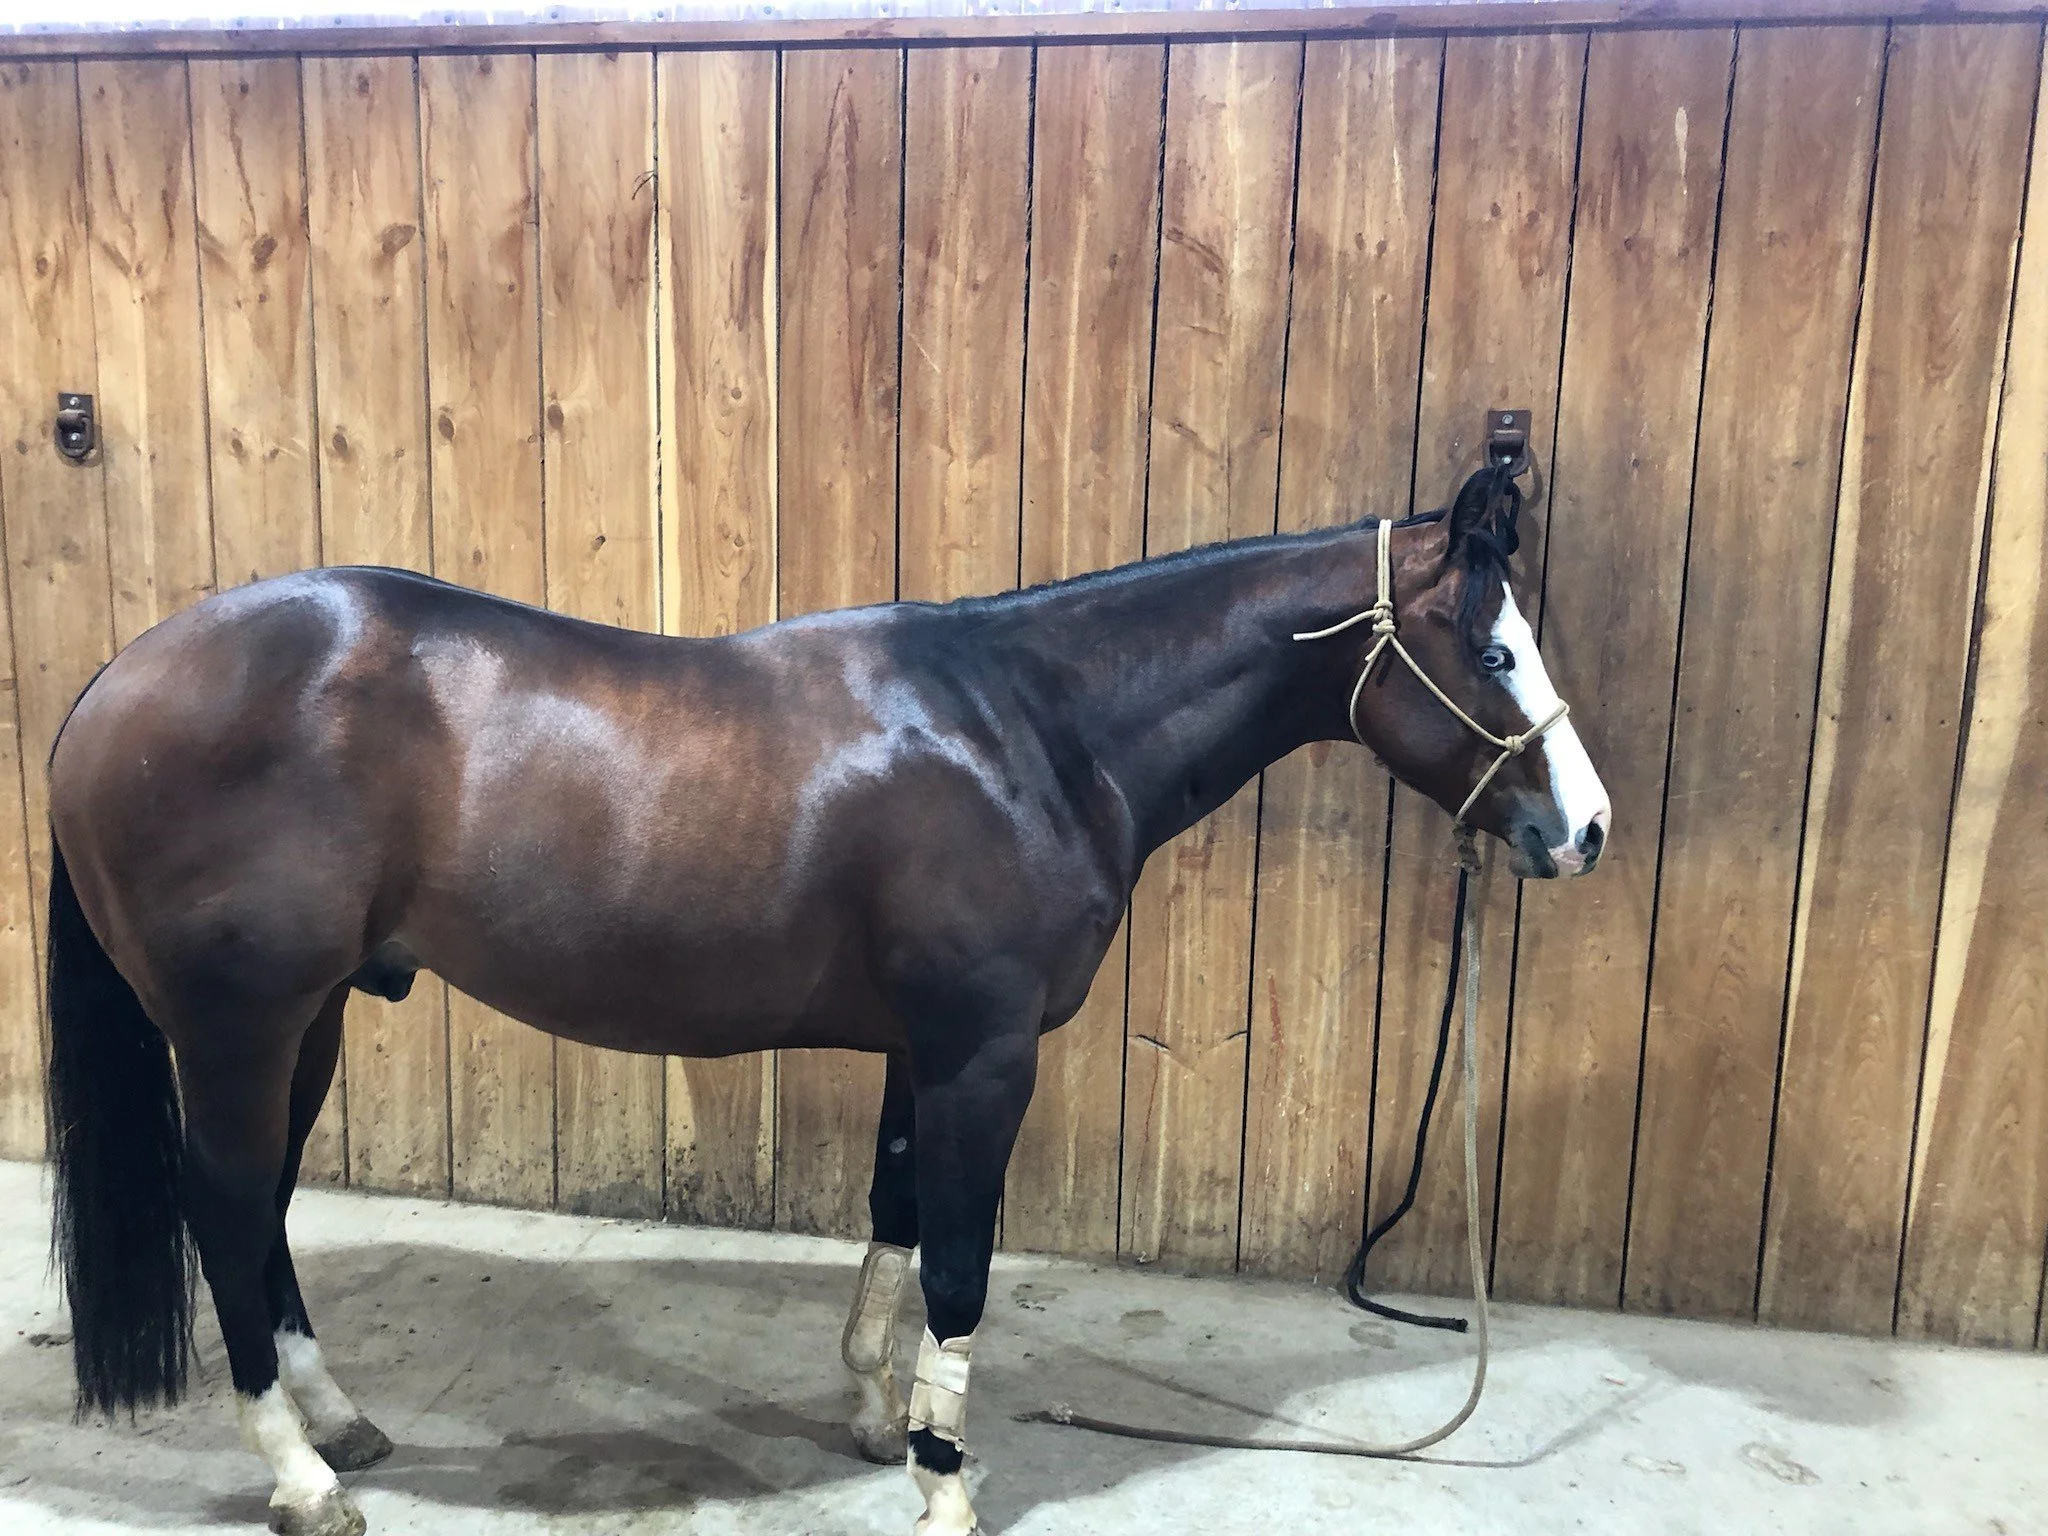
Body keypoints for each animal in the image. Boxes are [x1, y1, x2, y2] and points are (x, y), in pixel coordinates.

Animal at [43, 462, 1607, 1536]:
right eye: (1491, 649)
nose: (1582, 829)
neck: (1031, 731)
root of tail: (116, 680)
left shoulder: (930, 1053)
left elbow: (896, 1217)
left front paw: (872, 1412)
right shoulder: (985, 1056)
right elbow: (959, 1267)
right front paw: (946, 1484)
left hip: (300, 1023)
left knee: (260, 1208)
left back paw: (340, 1422)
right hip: (241, 1026)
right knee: (226, 1204)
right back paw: (304, 1480)